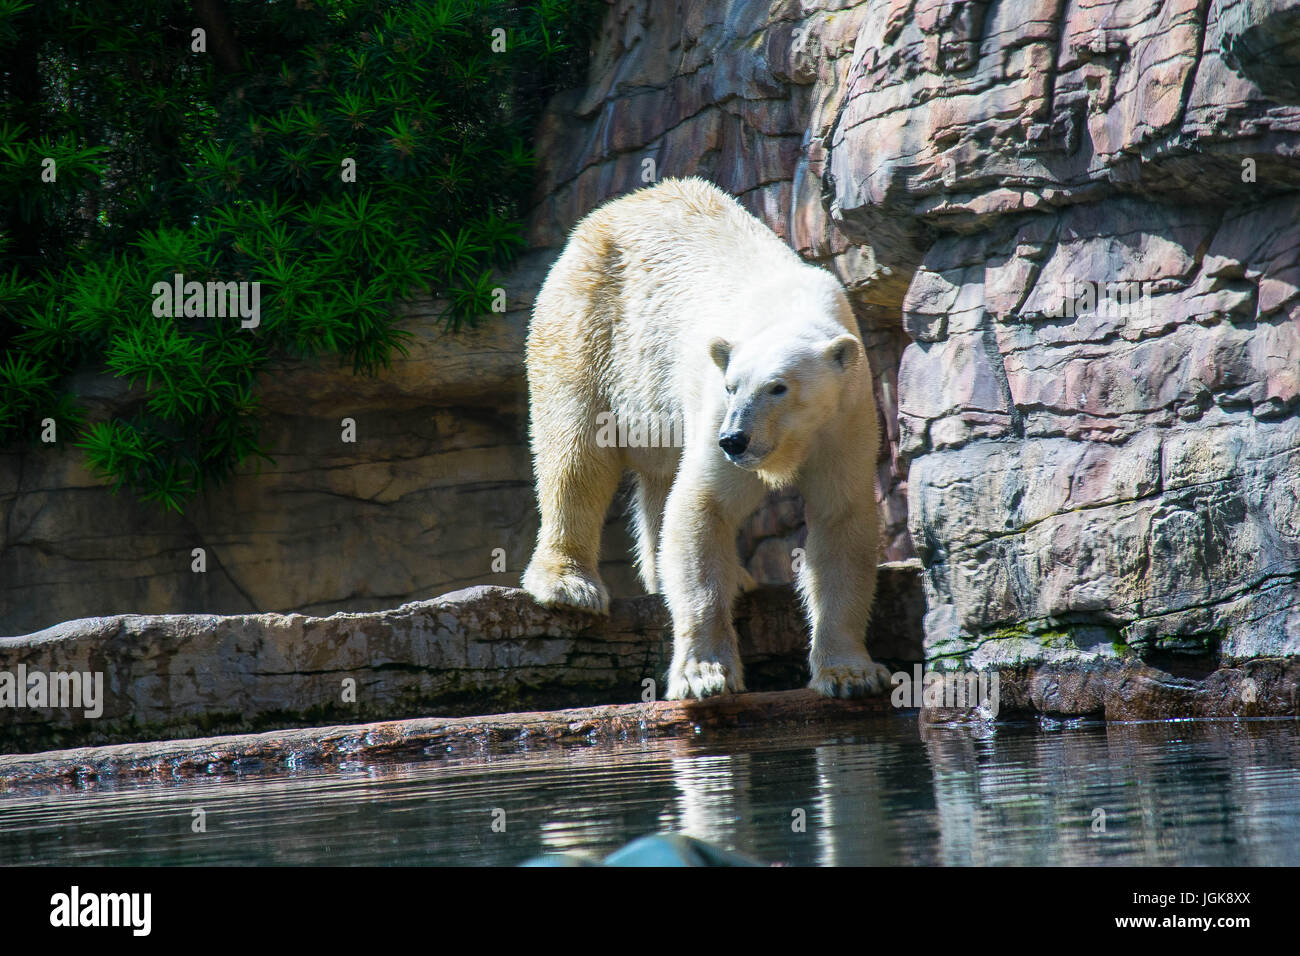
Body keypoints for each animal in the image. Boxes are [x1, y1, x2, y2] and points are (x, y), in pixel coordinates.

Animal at [522, 176, 888, 701]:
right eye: (734, 385)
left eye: (778, 387)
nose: (735, 439)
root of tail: (605, 214)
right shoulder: (716, 404)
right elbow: (703, 508)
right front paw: (704, 675)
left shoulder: (845, 418)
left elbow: (842, 523)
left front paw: (850, 674)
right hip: (590, 325)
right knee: (576, 451)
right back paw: (568, 584)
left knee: (657, 478)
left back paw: (732, 577)